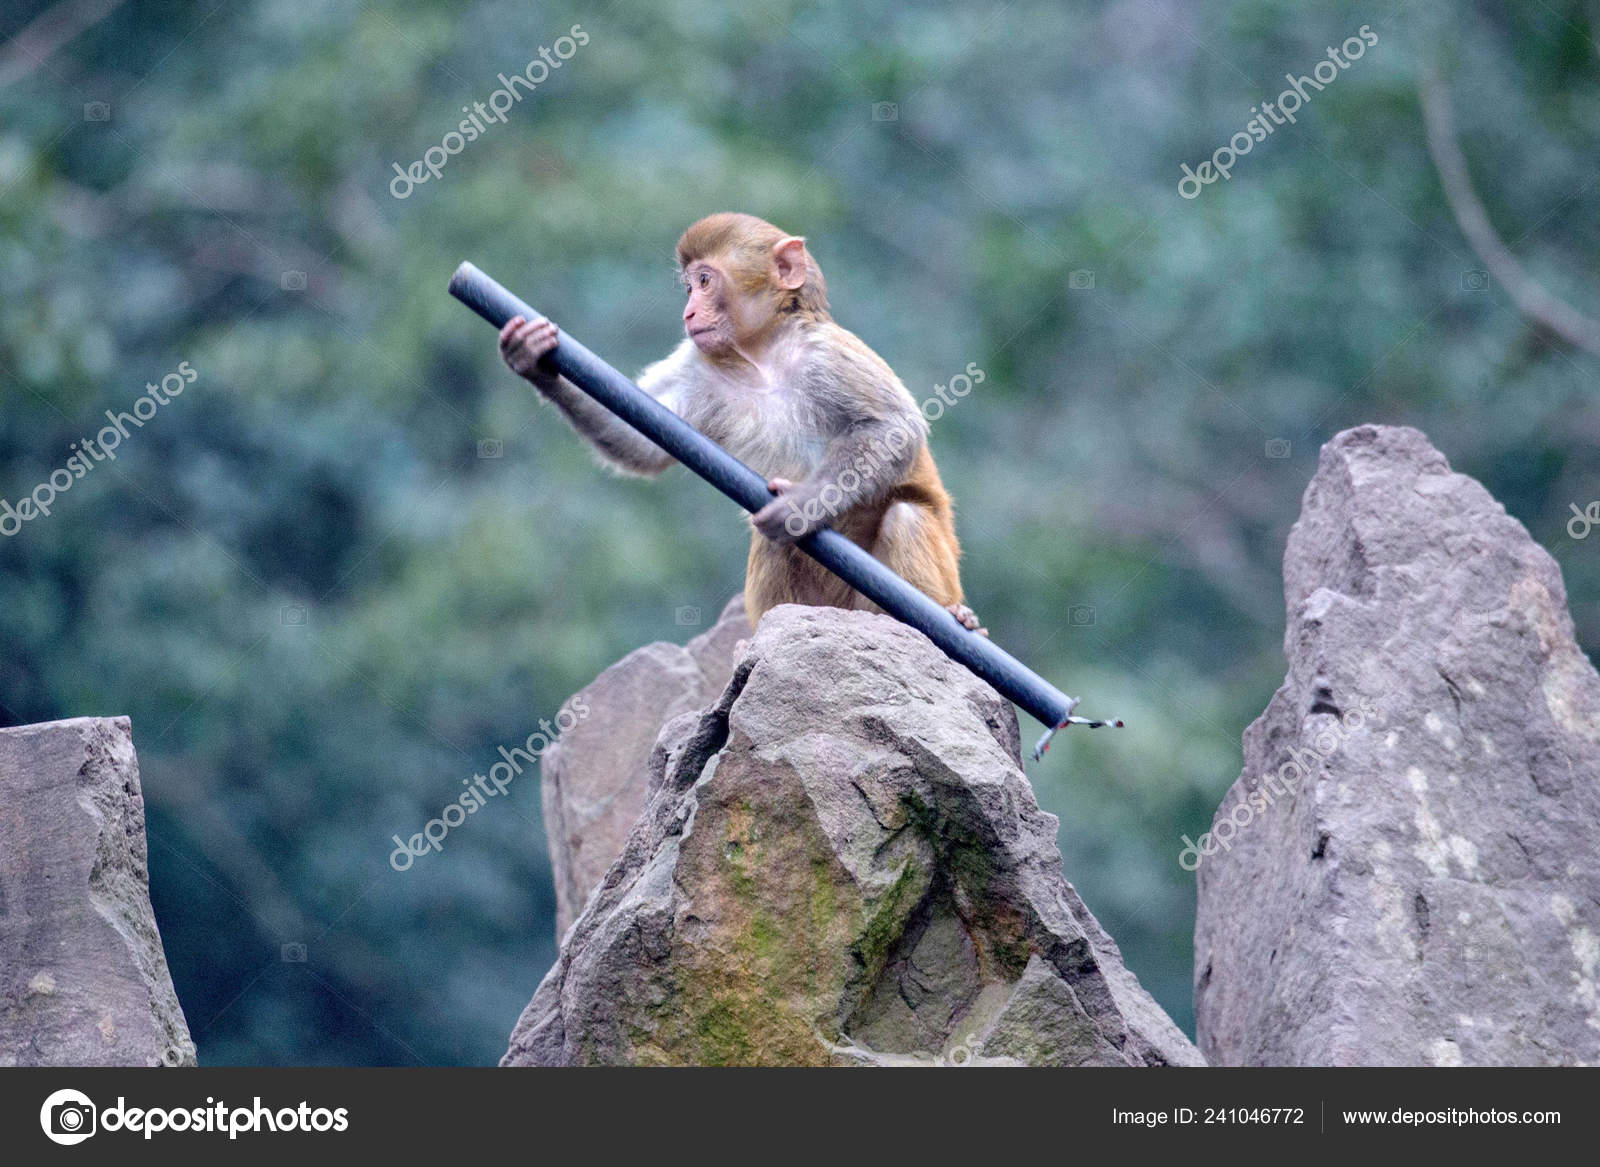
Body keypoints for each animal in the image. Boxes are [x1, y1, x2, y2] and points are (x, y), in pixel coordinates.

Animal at [498, 211, 980, 633]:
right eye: (689, 287)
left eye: (704, 282)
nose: (689, 312)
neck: (762, 355)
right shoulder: (698, 367)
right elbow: (642, 442)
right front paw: (535, 360)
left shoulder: (828, 353)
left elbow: (893, 427)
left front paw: (799, 506)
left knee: (906, 517)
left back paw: (951, 617)